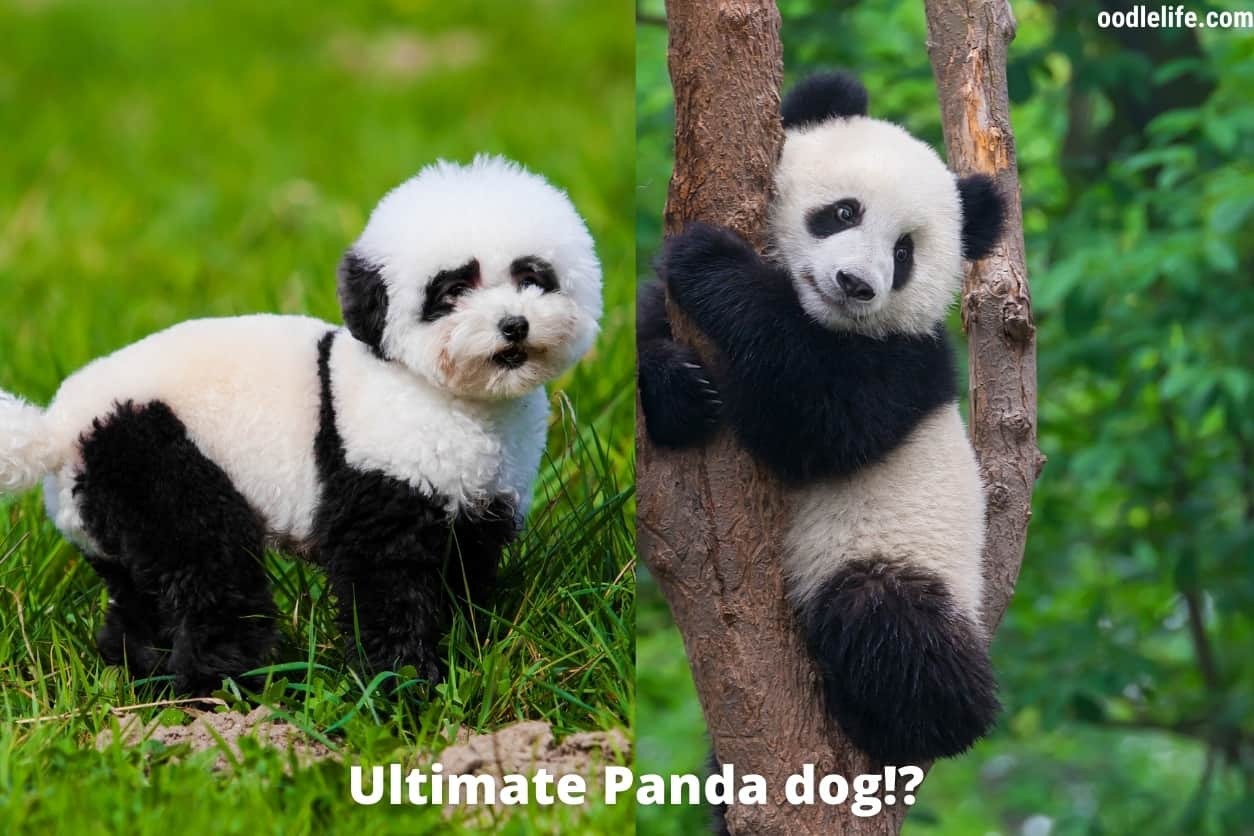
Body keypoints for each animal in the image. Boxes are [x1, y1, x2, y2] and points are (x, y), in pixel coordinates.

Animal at [0, 155, 603, 695]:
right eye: (453, 290)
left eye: (533, 277)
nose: (514, 326)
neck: (452, 398)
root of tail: (56, 430)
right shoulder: (378, 465)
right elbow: (383, 576)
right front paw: (402, 683)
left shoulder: (482, 497)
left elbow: (465, 572)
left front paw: (468, 653)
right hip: (152, 452)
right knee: (208, 562)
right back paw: (223, 687)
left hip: (108, 502)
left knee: (140, 589)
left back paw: (145, 671)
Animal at [639, 71, 1007, 764]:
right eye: (844, 212)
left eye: (904, 252)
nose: (856, 284)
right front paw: (680, 391)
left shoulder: (906, 363)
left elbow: (819, 421)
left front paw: (710, 262)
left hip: (900, 555)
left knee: (891, 624)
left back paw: (906, 721)